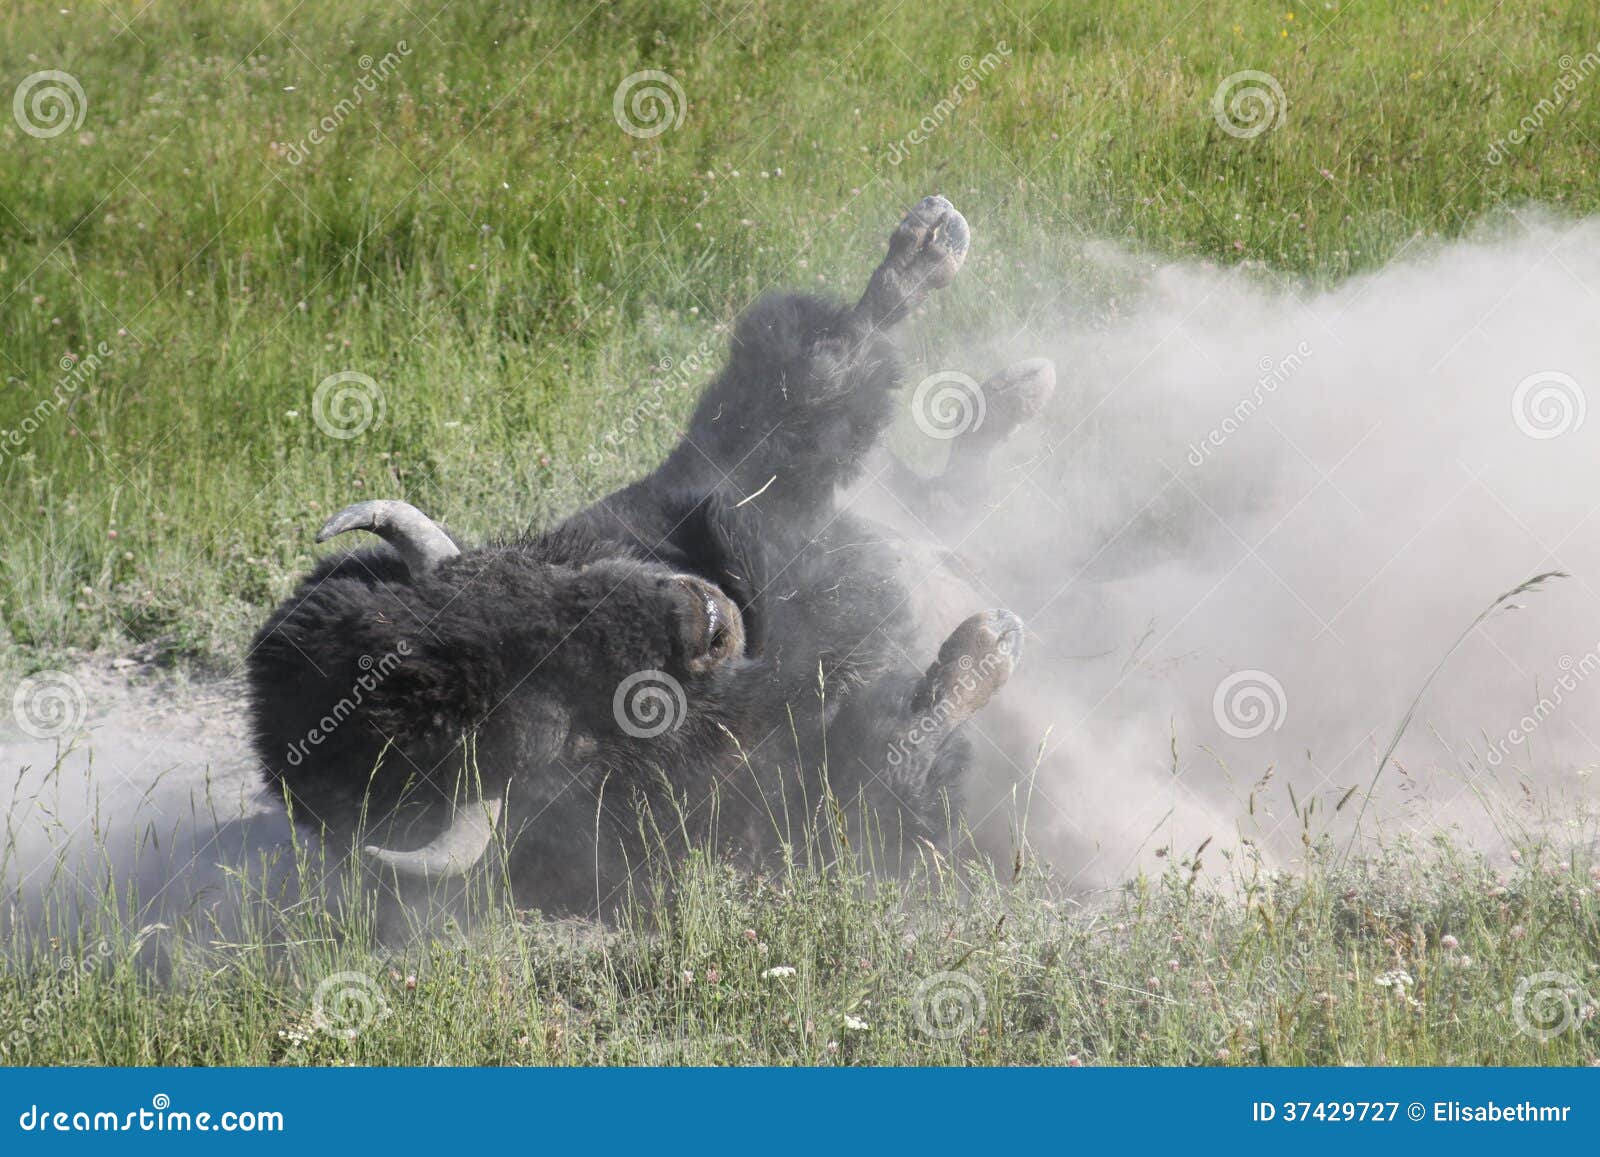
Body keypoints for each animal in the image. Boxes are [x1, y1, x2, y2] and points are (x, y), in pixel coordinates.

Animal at [247, 195, 1052, 914]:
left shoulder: (708, 486)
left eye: (527, 583)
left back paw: (1018, 387)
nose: (698, 621)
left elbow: (813, 379)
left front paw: (928, 240)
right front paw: (993, 642)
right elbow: (899, 764)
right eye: (558, 735)